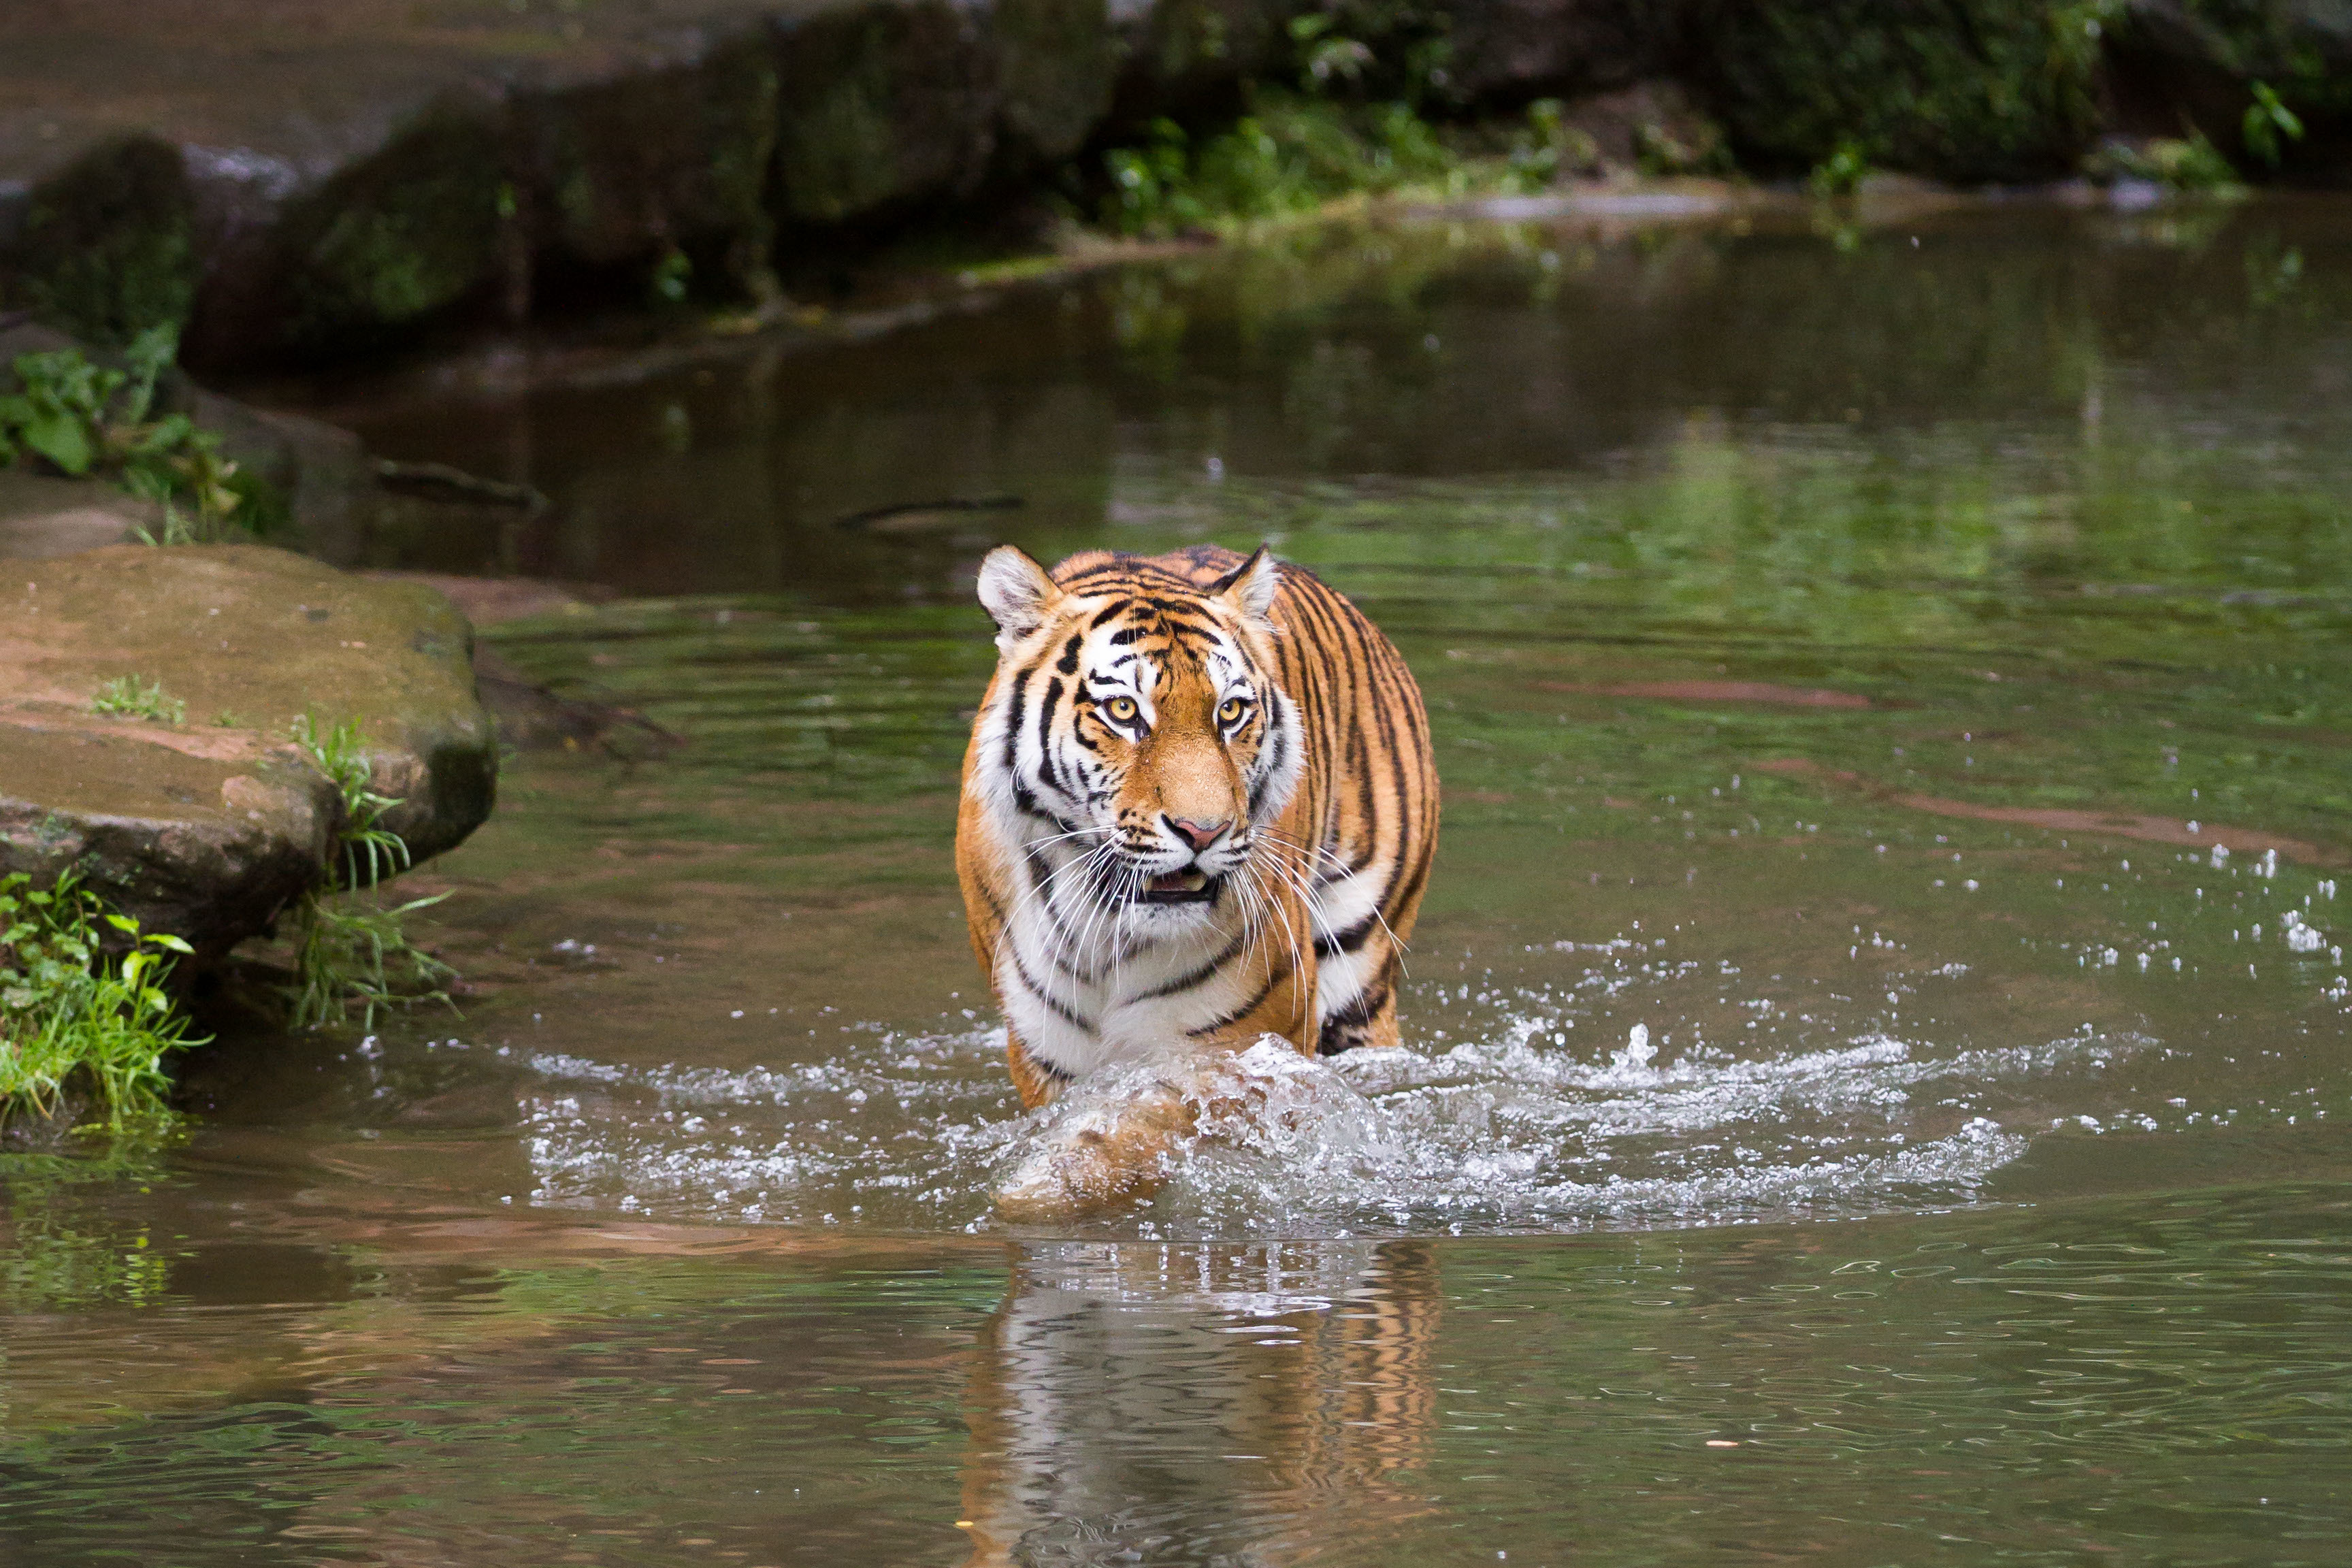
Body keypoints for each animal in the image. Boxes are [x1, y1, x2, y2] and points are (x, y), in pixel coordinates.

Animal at [955, 542, 1438, 1181]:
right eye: (1123, 710)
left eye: (1230, 712)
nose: (1203, 831)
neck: (1106, 930)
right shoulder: (1046, 1053)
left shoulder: (1241, 1046)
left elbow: (1167, 1117)